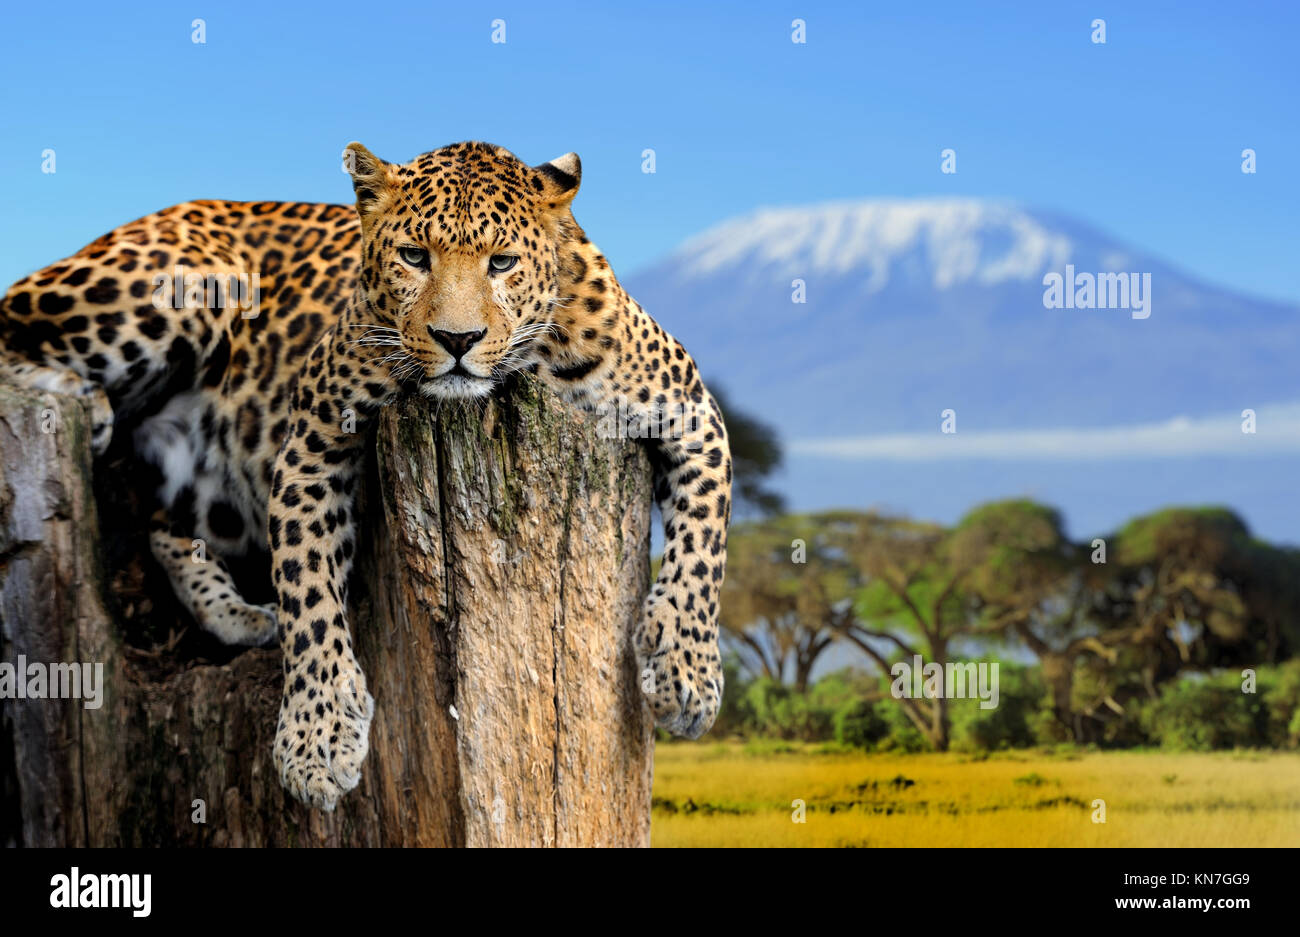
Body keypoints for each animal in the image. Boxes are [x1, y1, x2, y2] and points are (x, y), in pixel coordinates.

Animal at [0, 141, 732, 810]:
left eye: (501, 263)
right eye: (414, 256)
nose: (457, 340)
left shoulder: (692, 409)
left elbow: (704, 545)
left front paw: (686, 674)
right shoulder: (314, 436)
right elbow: (308, 590)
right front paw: (317, 739)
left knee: (164, 526)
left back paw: (241, 614)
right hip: (175, 284)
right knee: (12, 323)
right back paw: (85, 401)